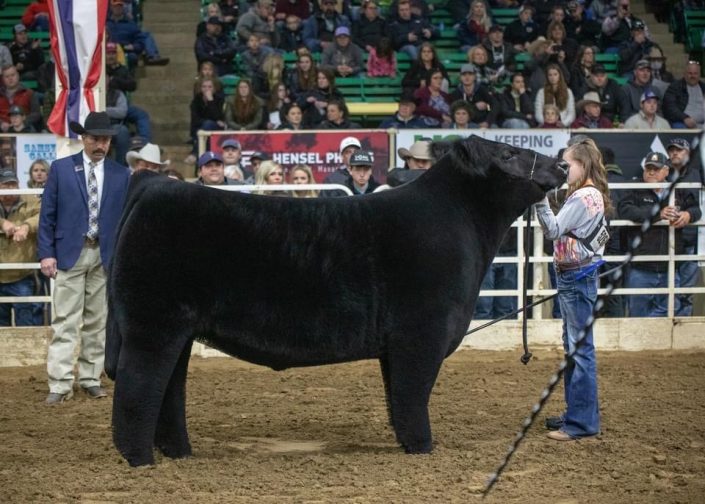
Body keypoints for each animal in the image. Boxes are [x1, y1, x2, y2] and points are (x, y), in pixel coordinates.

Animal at [105, 135, 568, 467]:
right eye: (508, 152)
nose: (562, 163)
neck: (461, 220)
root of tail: (155, 185)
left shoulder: (397, 344)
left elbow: (398, 398)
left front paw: (406, 443)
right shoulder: (422, 333)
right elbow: (413, 394)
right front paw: (423, 448)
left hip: (178, 331)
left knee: (168, 390)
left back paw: (179, 453)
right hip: (152, 325)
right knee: (137, 387)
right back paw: (140, 460)